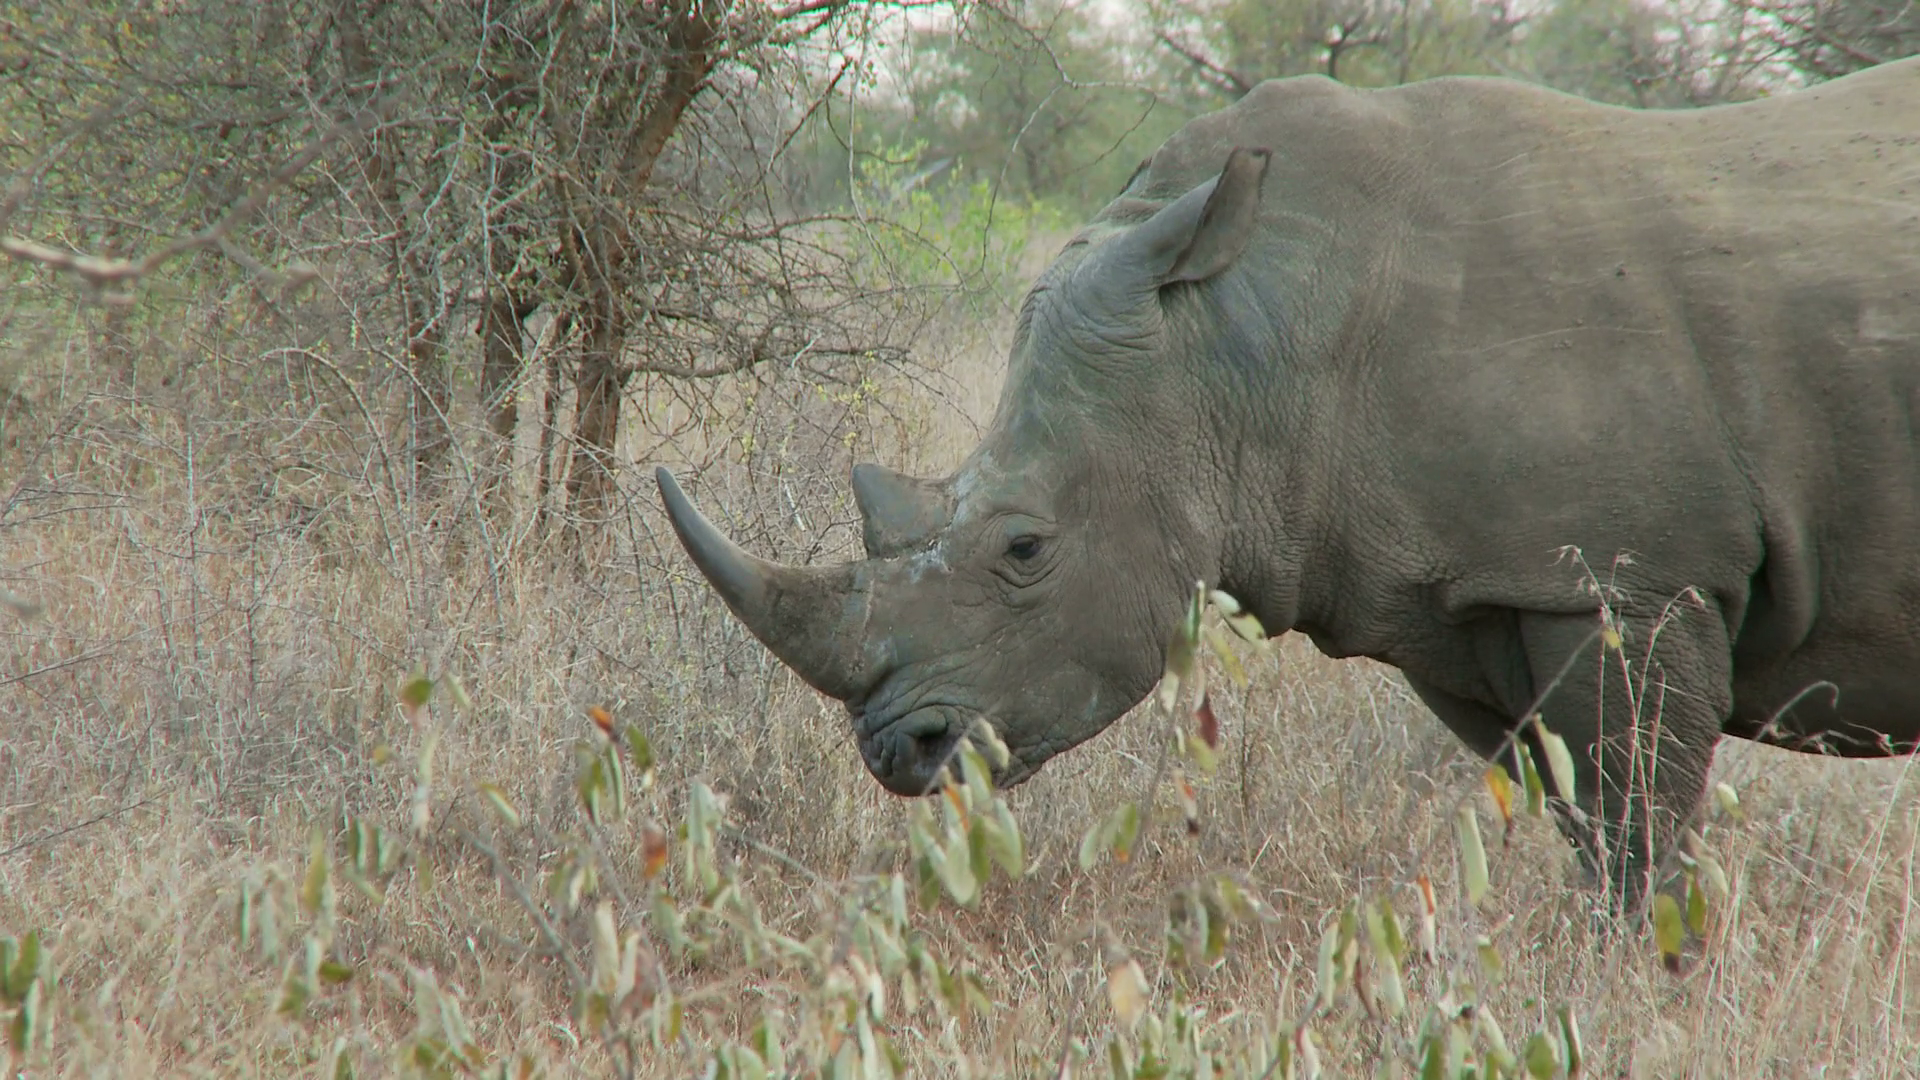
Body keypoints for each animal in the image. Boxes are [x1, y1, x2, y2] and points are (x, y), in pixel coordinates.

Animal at [658, 57, 1920, 905]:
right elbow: (1583, 811)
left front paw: (1645, 986)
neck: (1243, 340)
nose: (896, 754)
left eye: (1024, 549)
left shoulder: (1625, 579)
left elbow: (1637, 827)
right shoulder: (1472, 593)